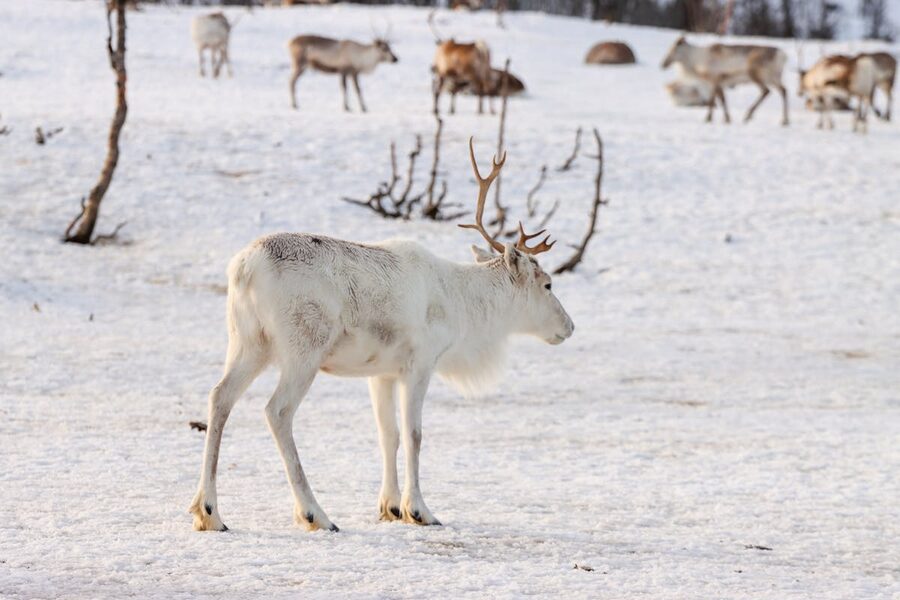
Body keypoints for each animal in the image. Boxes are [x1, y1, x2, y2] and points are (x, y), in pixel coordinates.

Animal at [189, 139, 575, 533]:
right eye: (547, 284)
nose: (569, 327)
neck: (462, 303)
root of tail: (244, 268)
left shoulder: (381, 372)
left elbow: (388, 434)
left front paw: (390, 507)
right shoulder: (420, 364)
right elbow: (414, 435)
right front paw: (419, 510)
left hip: (249, 343)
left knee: (220, 397)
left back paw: (209, 512)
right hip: (302, 349)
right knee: (277, 411)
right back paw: (315, 513)